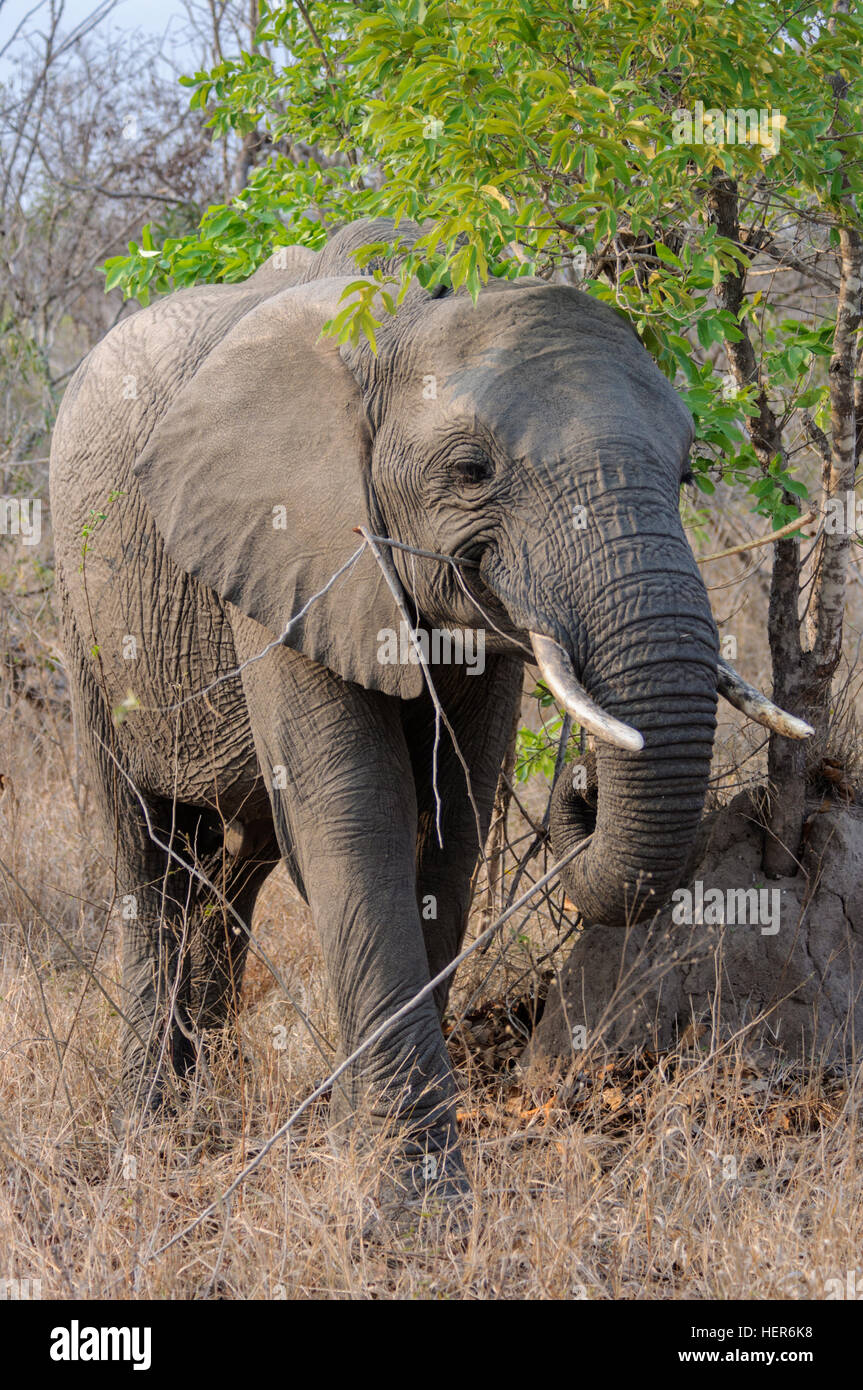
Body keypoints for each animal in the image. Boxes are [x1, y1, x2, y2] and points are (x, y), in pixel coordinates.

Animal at [49, 216, 810, 1208]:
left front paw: (368, 1148)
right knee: (150, 854)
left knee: (237, 865)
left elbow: (454, 825)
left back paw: (203, 1104)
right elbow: (355, 815)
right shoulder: (290, 543)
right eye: (470, 470)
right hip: (86, 615)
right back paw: (154, 1132)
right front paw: (410, 1202)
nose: (580, 788)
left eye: (686, 473)